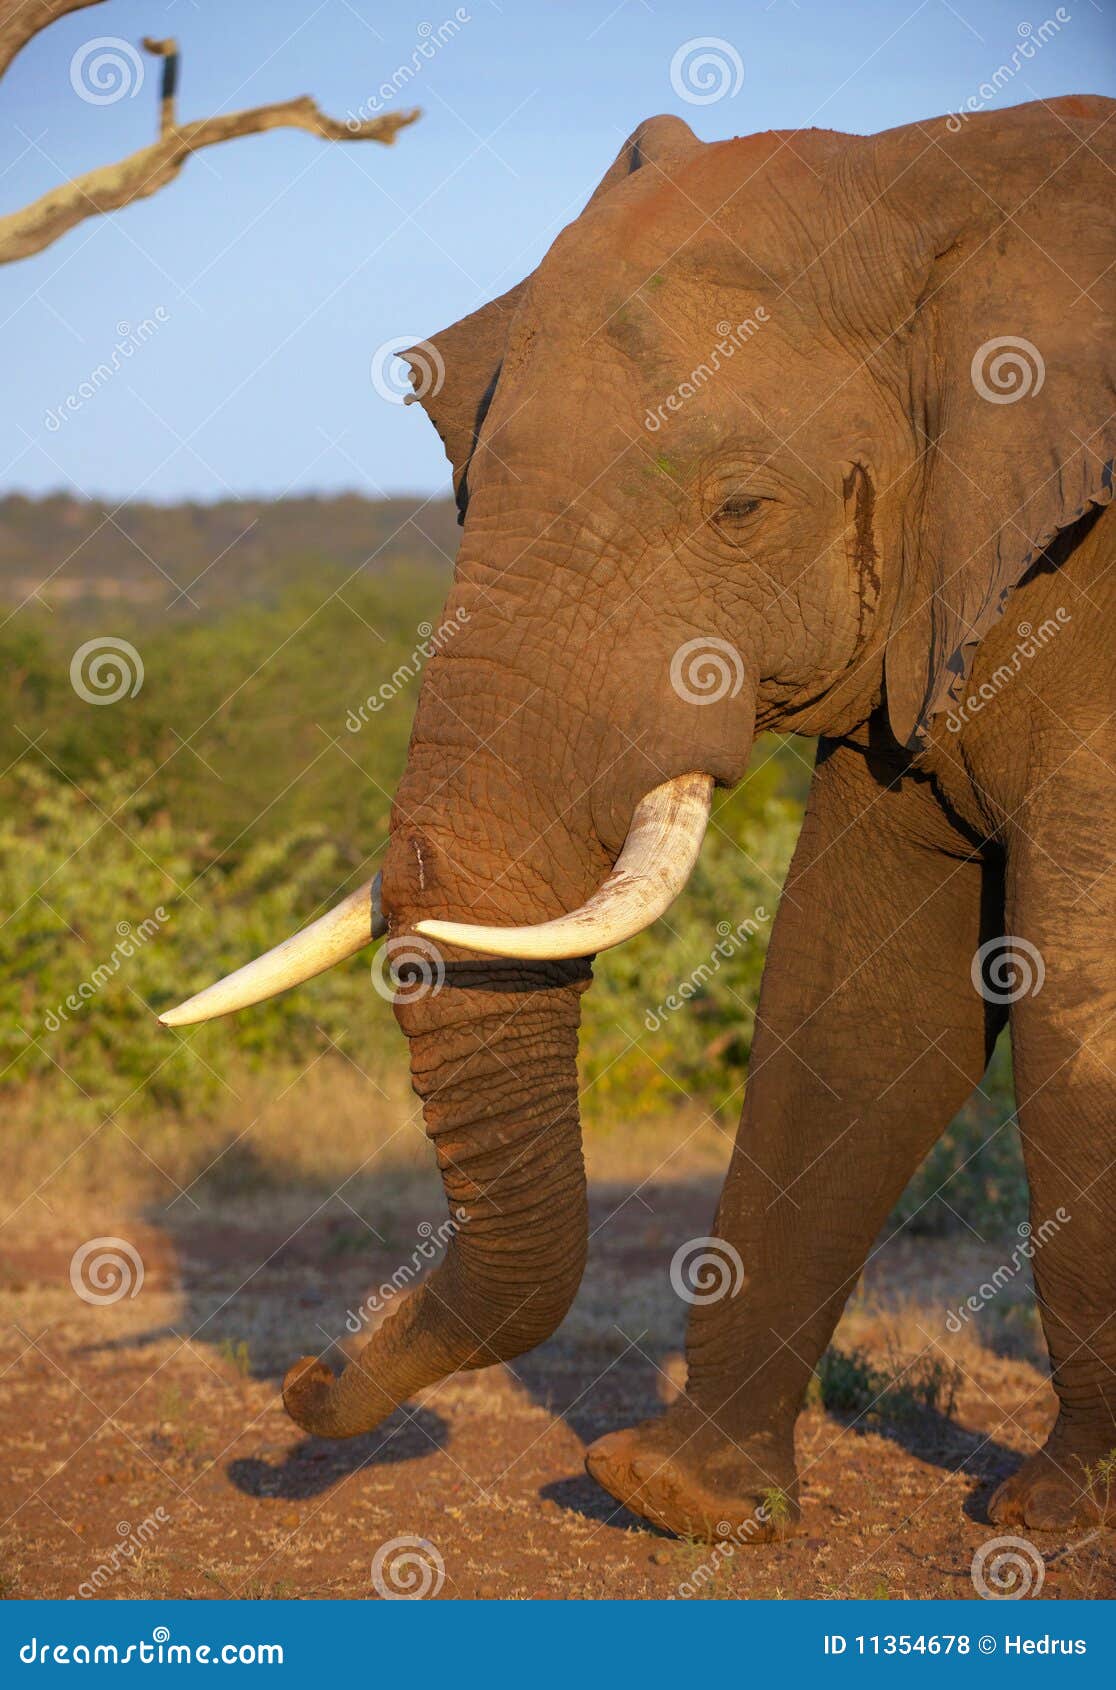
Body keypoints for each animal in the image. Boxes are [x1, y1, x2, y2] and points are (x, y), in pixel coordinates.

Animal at [162, 96, 1115, 1544]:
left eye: (743, 508)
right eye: (466, 492)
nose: (308, 1382)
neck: (936, 173)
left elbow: (1078, 1012)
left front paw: (1053, 1514)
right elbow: (857, 999)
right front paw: (679, 1497)